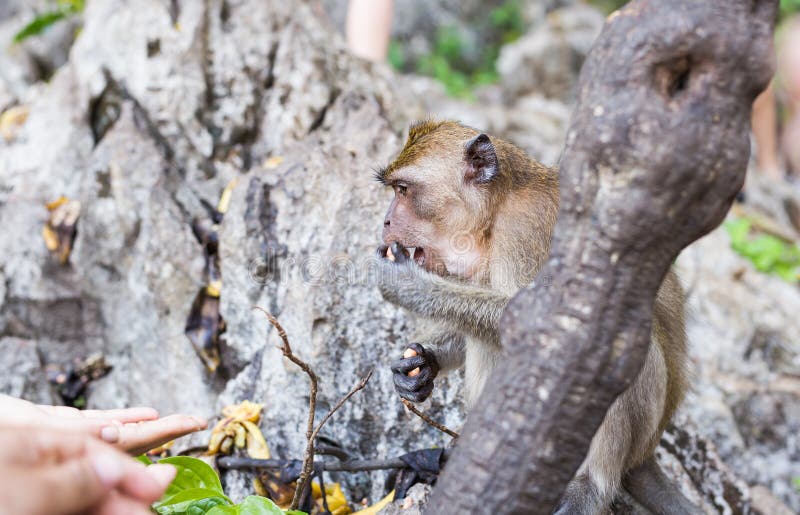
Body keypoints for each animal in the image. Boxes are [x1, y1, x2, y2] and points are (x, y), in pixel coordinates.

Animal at [373, 120, 696, 514]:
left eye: (403, 190)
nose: (386, 220)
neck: (496, 212)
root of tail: (647, 452)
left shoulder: (526, 235)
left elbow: (546, 323)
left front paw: (405, 283)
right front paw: (420, 366)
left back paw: (592, 485)